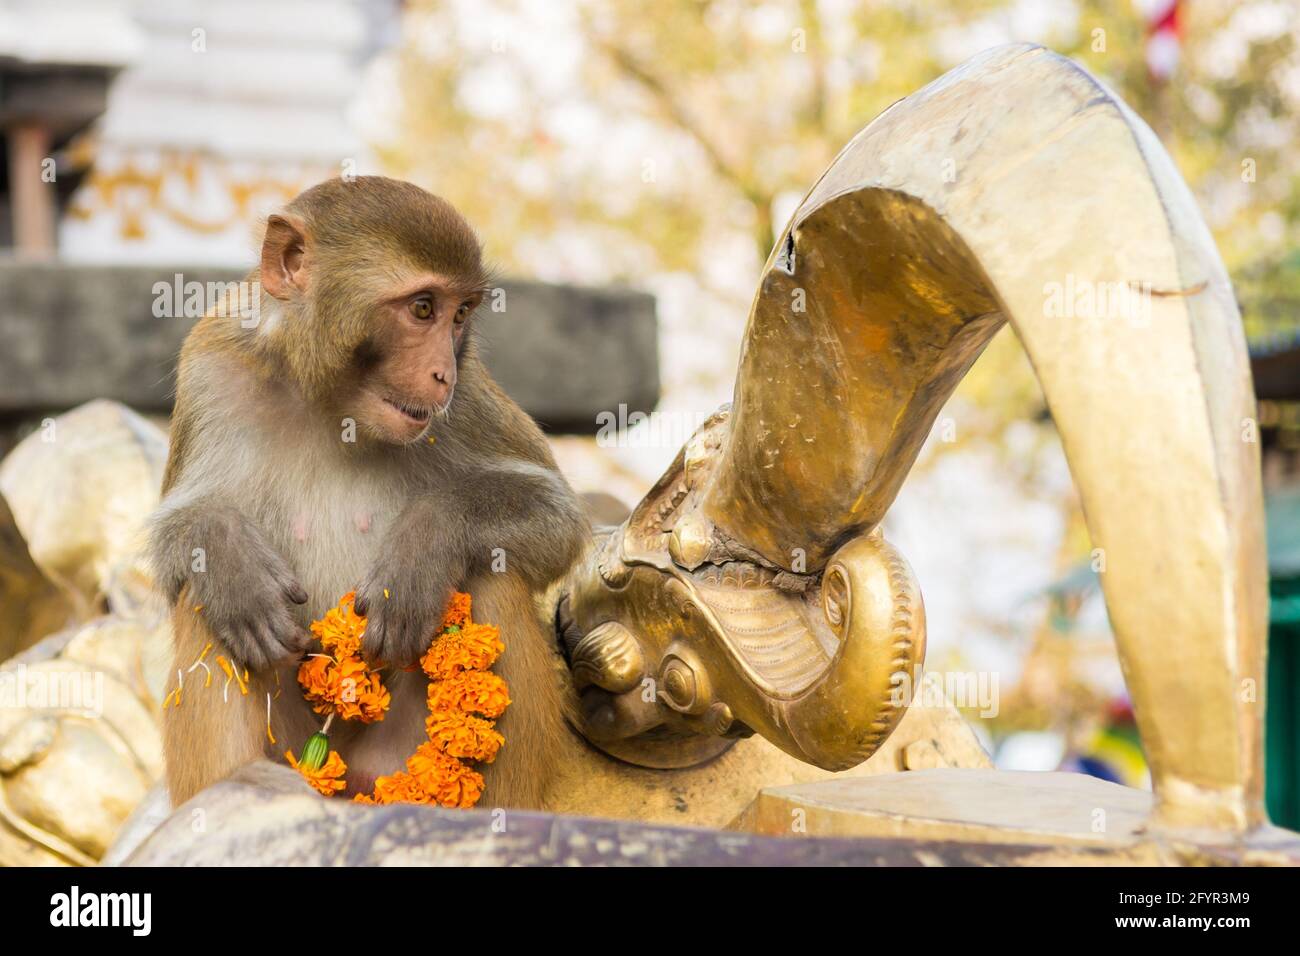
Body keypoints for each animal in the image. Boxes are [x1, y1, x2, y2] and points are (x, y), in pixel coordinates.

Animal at [148, 176, 590, 808]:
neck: (331, 404)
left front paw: (423, 547)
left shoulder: (467, 395)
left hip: (395, 756)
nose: (442, 372)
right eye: (423, 309)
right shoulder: (210, 362)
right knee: (202, 603)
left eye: (460, 315)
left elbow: (556, 515)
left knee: (492, 573)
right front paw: (229, 555)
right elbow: (174, 553)